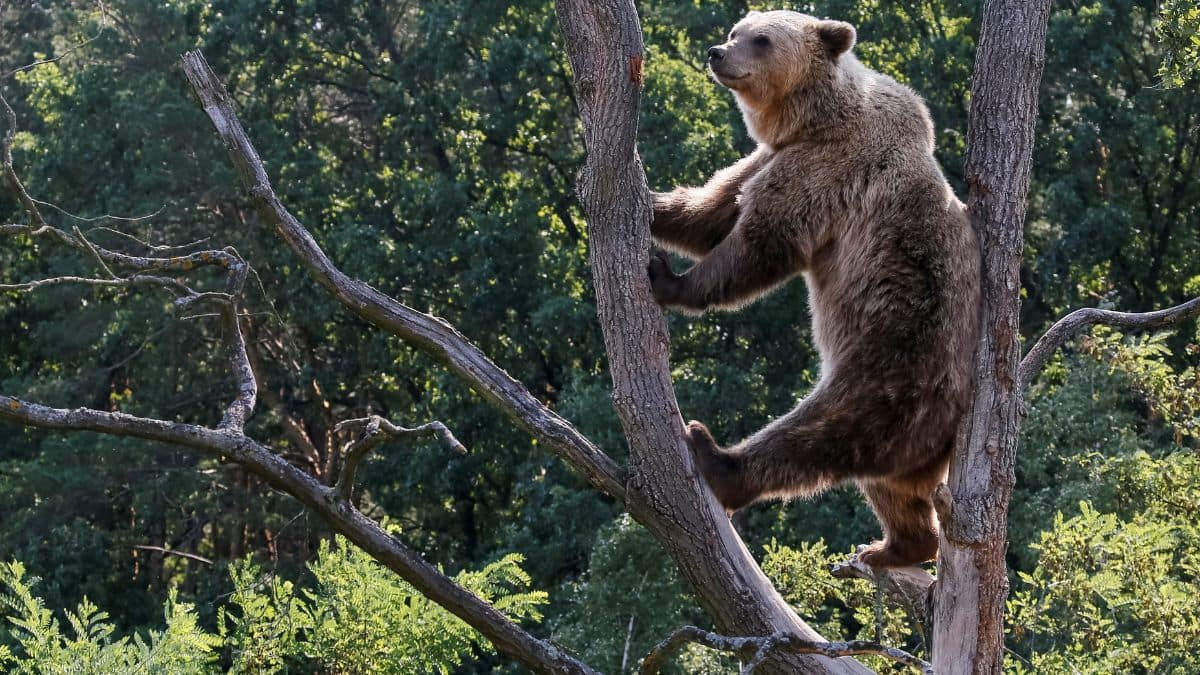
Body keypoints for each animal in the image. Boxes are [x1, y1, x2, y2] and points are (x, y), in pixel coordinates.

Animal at [647, 10, 981, 568]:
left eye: (761, 39)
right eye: (737, 30)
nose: (718, 52)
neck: (812, 120)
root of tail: (948, 435)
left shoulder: (825, 169)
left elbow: (760, 242)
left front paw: (669, 279)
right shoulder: (771, 155)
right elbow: (713, 208)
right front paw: (646, 199)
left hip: (898, 361)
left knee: (821, 431)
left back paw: (717, 458)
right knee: (889, 486)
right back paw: (894, 547)